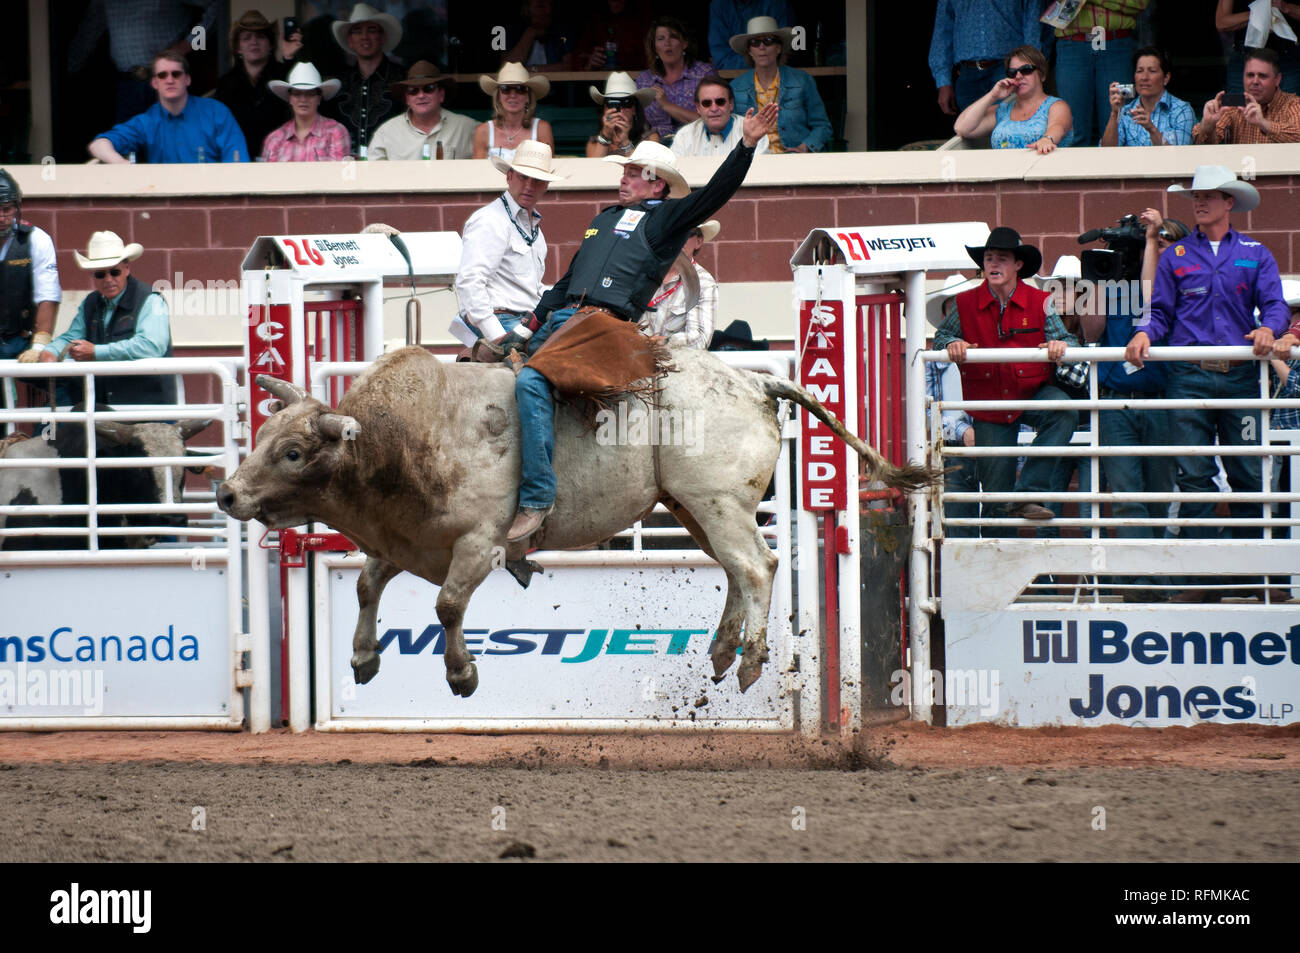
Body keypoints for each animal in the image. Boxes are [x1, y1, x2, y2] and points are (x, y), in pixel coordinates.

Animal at [217, 346, 934, 696]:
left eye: (293, 451)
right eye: (263, 435)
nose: (225, 493)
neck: (404, 438)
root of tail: (754, 382)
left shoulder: (479, 543)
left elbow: (448, 605)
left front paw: (461, 674)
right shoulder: (401, 538)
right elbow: (368, 585)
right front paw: (364, 658)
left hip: (717, 502)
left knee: (757, 566)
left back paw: (753, 658)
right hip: (692, 507)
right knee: (742, 570)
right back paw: (723, 649)